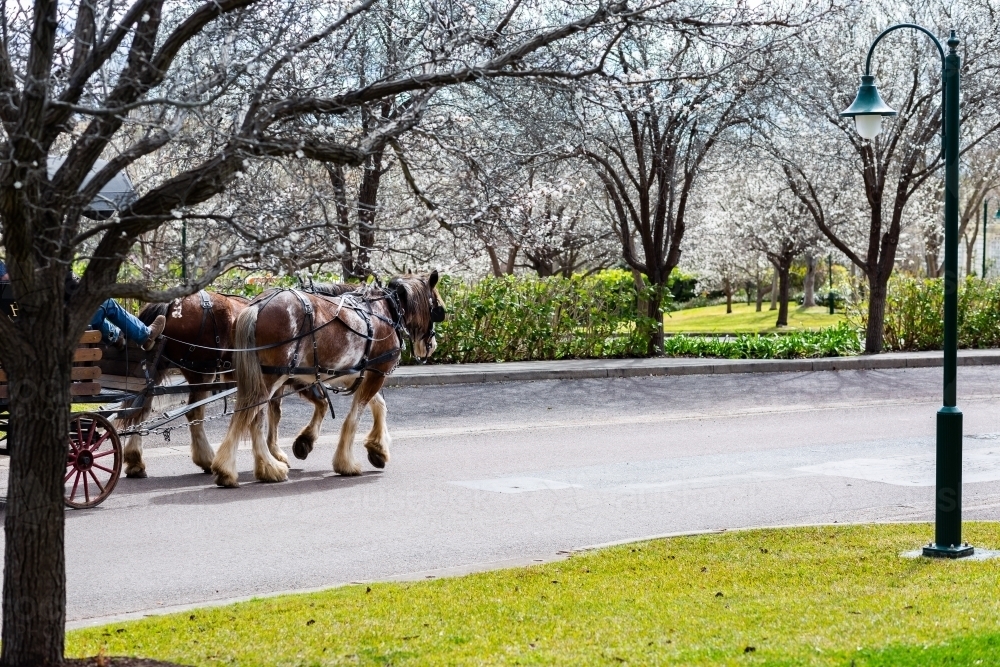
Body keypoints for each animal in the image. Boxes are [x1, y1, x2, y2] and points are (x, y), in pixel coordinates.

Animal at [106, 291, 249, 478]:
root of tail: (171, 304)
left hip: (156, 369)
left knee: (142, 411)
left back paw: (135, 461)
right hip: (202, 372)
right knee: (194, 412)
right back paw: (206, 459)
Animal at [210, 271, 444, 487]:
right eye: (437, 308)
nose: (432, 345)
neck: (385, 311)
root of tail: (258, 306)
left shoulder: (354, 374)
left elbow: (379, 405)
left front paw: (378, 449)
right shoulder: (377, 372)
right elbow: (355, 417)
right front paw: (347, 463)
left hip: (265, 378)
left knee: (254, 418)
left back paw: (266, 468)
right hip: (270, 379)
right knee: (250, 417)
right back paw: (233, 469)